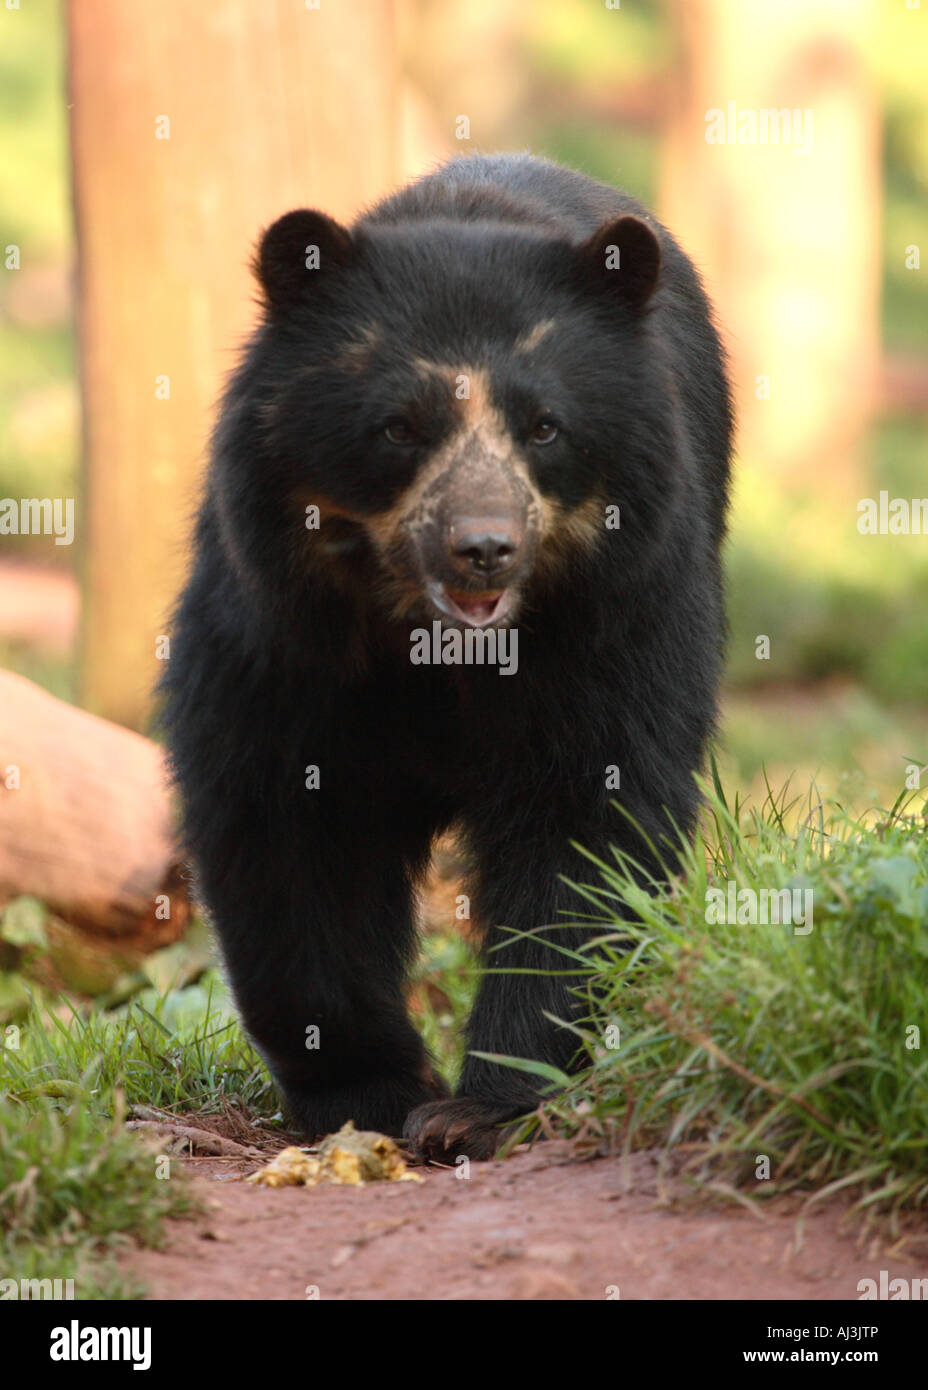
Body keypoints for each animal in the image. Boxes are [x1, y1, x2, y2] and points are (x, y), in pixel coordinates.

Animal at [159, 153, 732, 1161]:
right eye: (399, 426)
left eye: (544, 426)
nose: (484, 549)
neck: (437, 648)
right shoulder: (274, 629)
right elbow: (284, 823)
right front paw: (369, 1093)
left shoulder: (620, 615)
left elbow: (590, 811)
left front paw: (485, 1106)